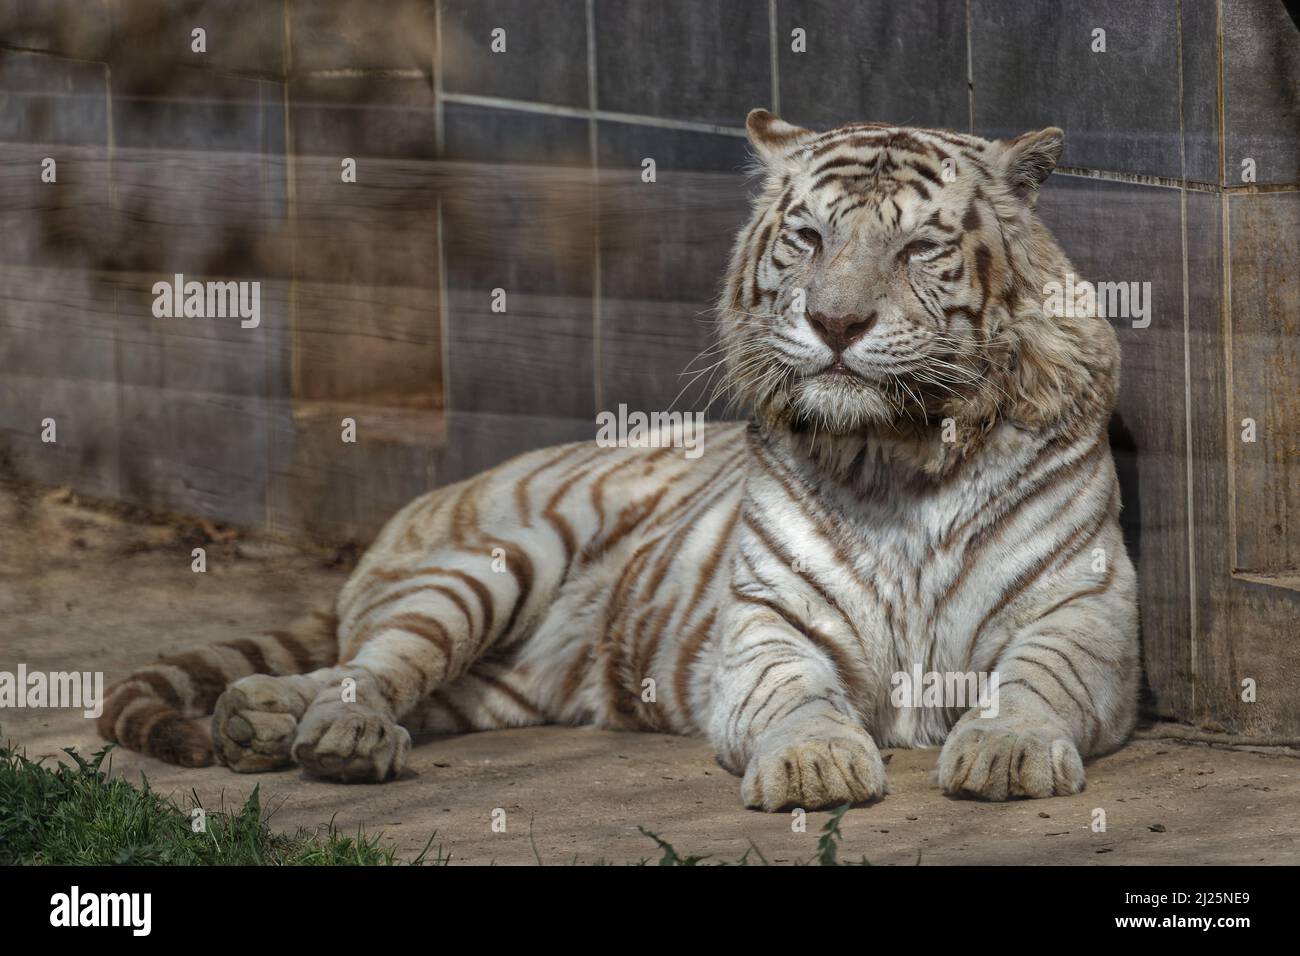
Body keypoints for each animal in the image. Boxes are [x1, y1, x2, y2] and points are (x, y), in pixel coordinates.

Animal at [99, 110, 1139, 810]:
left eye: (920, 246)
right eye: (809, 236)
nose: (835, 323)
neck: (900, 452)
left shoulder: (1081, 608)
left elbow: (1035, 681)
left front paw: (1006, 752)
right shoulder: (767, 625)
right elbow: (797, 695)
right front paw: (813, 763)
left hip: (496, 688)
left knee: (381, 675)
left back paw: (264, 716)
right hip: (494, 562)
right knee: (378, 661)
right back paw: (324, 731)